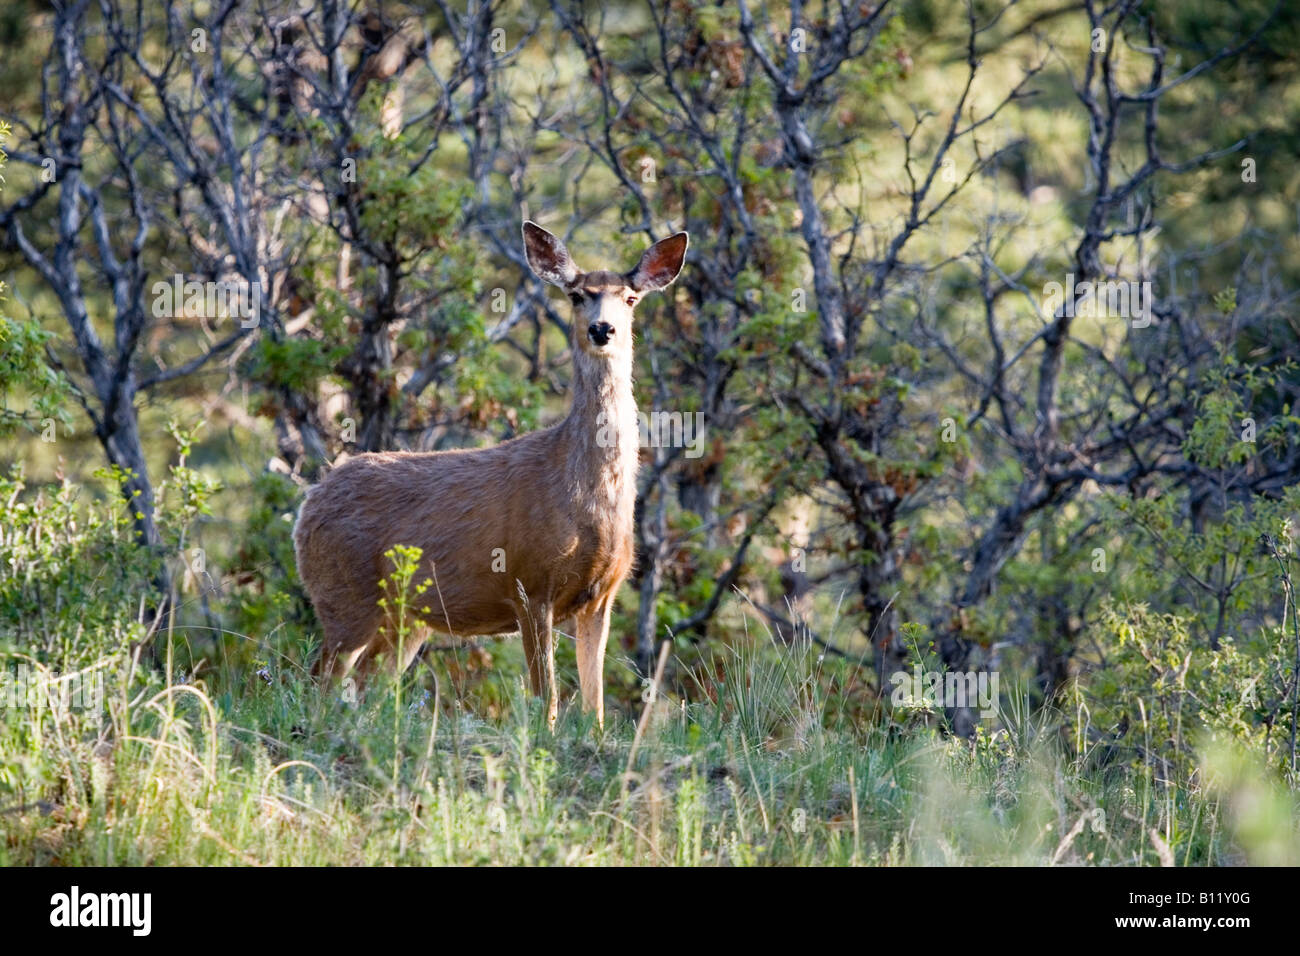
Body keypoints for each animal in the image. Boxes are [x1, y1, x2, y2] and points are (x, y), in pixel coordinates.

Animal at [293, 221, 689, 728]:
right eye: (577, 296)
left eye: (631, 298)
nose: (603, 328)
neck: (583, 496)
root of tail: (309, 501)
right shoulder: (528, 583)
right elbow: (547, 699)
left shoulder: (602, 595)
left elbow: (595, 704)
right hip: (346, 596)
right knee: (319, 680)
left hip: (406, 620)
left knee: (363, 685)